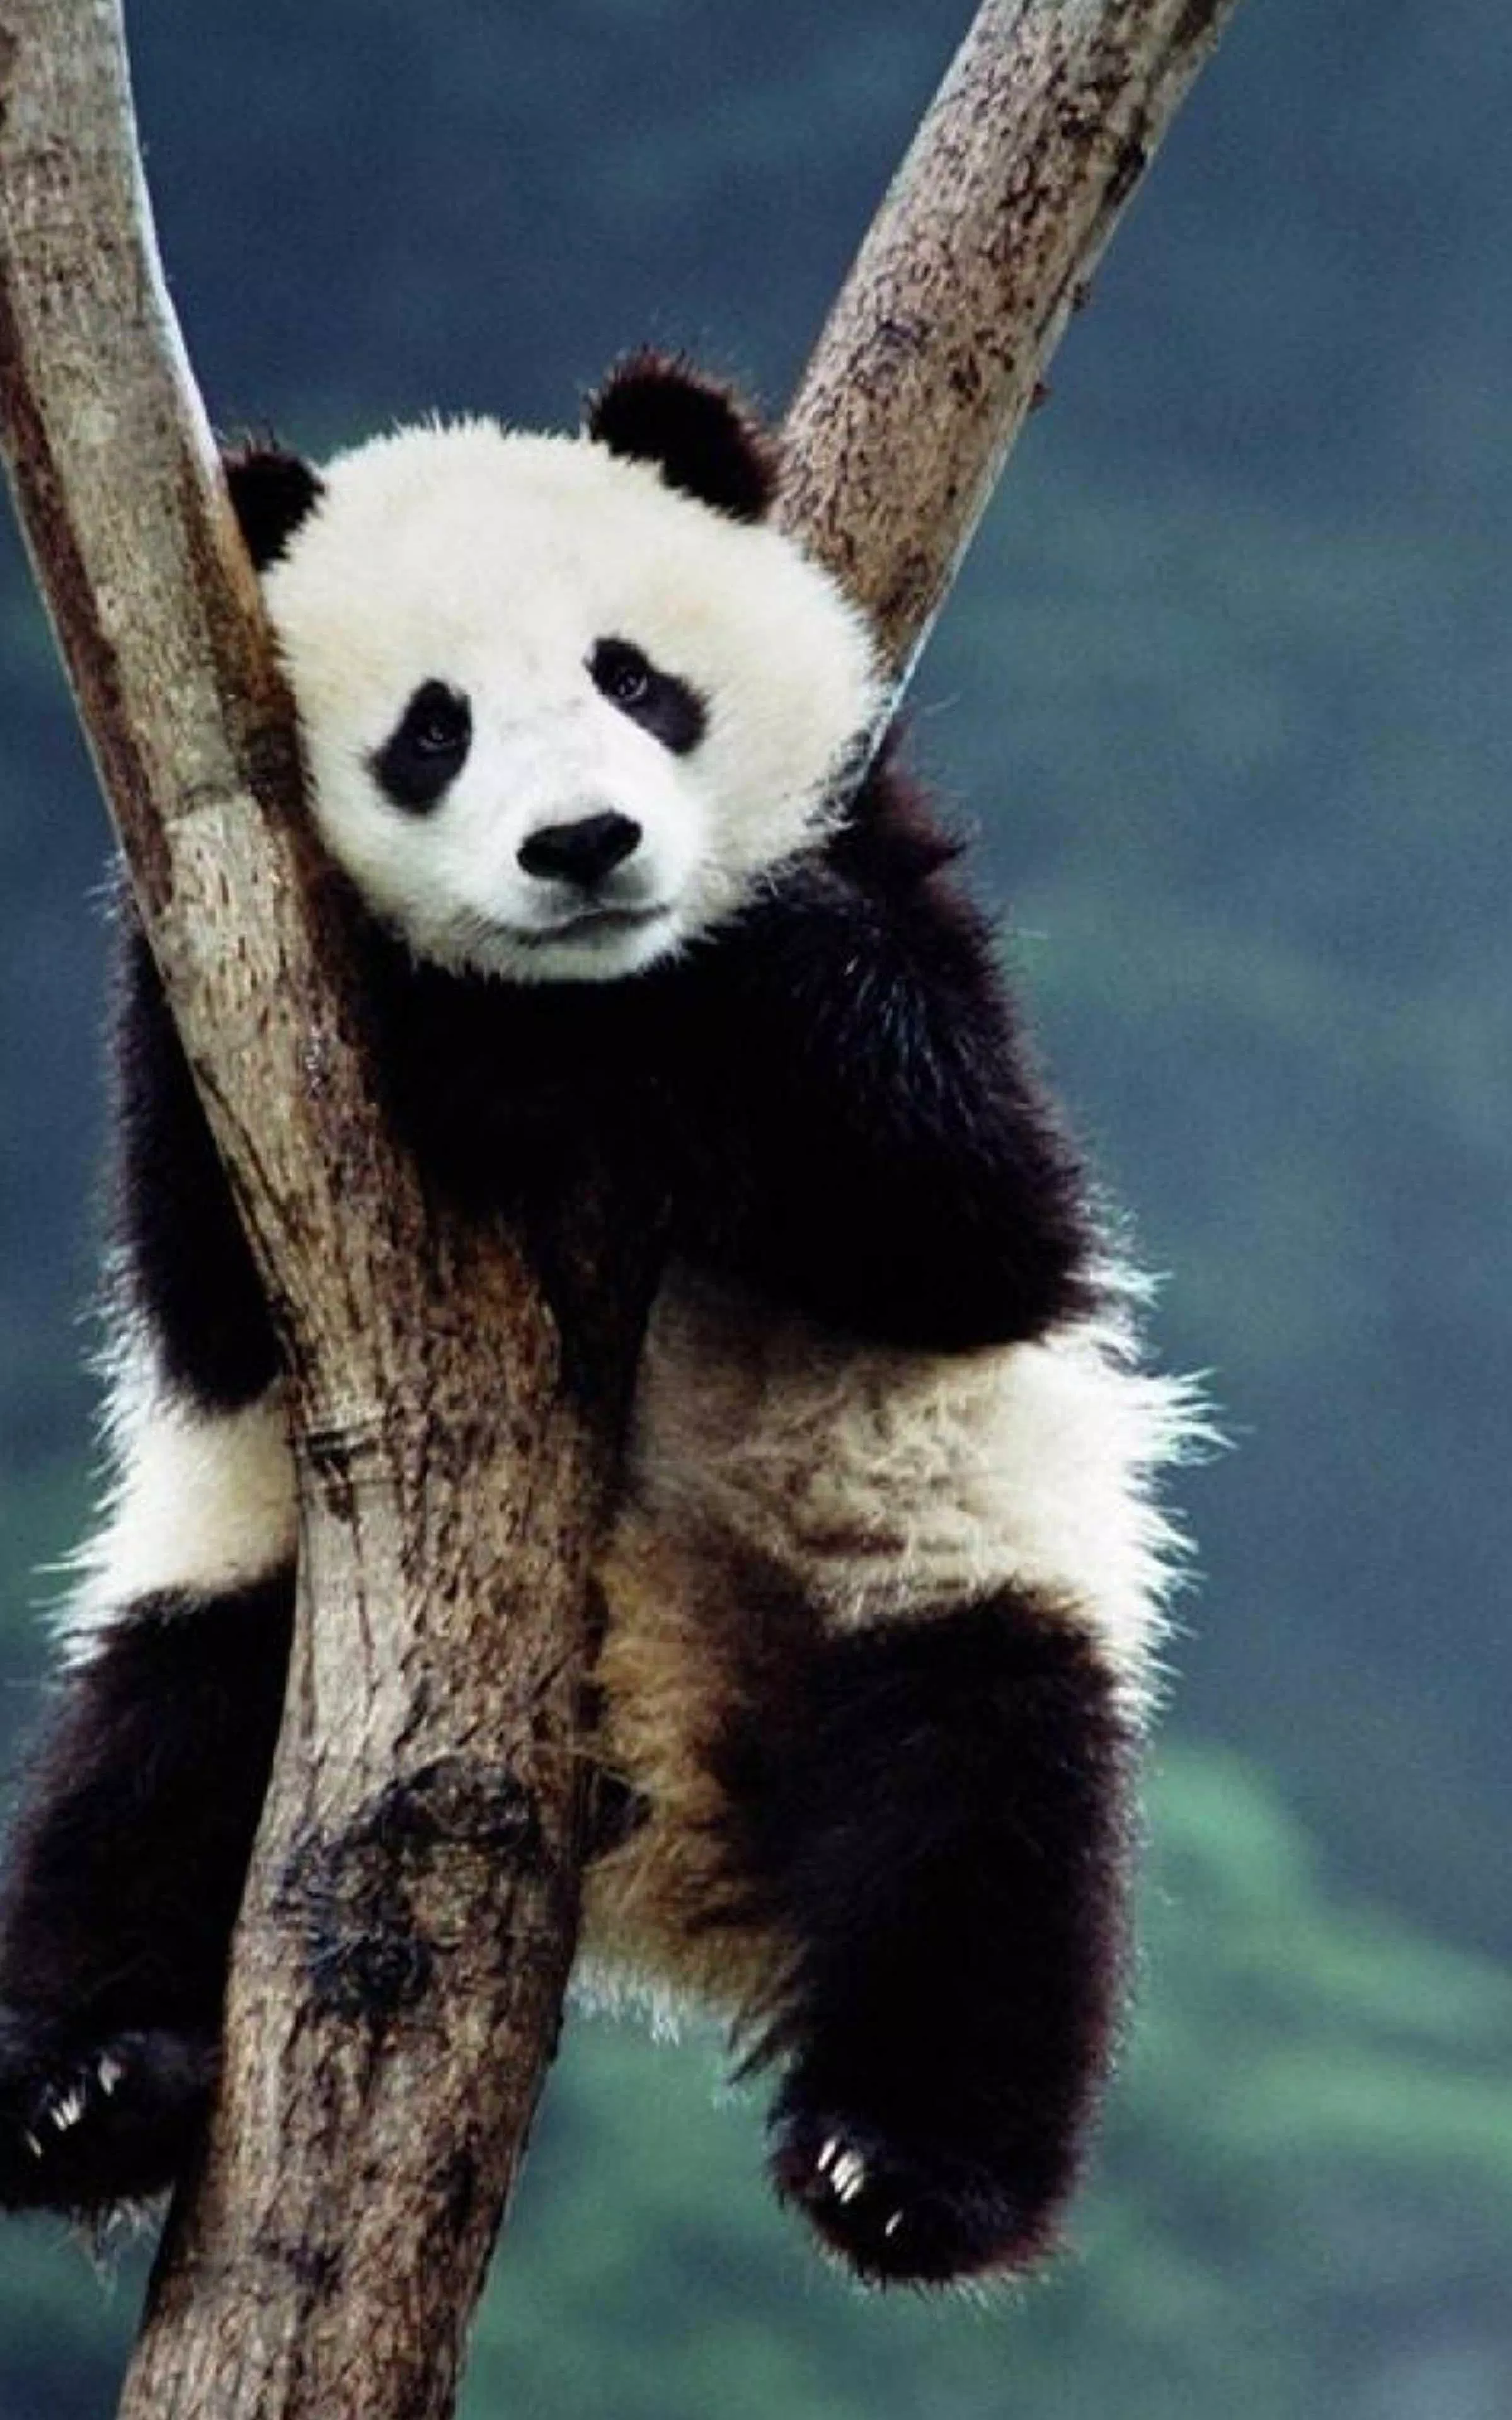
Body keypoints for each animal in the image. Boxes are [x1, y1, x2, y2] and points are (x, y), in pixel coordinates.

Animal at [0, 355, 1196, 2285]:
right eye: (431, 732)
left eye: (637, 679)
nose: (584, 848)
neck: (591, 1008)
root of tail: (670, 1829)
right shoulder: (218, 989)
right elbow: (210, 1299)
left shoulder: (891, 877)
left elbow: (971, 1215)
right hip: (254, 1613)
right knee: (144, 1775)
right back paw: (83, 2082)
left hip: (924, 1568)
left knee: (988, 1833)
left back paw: (902, 2166)